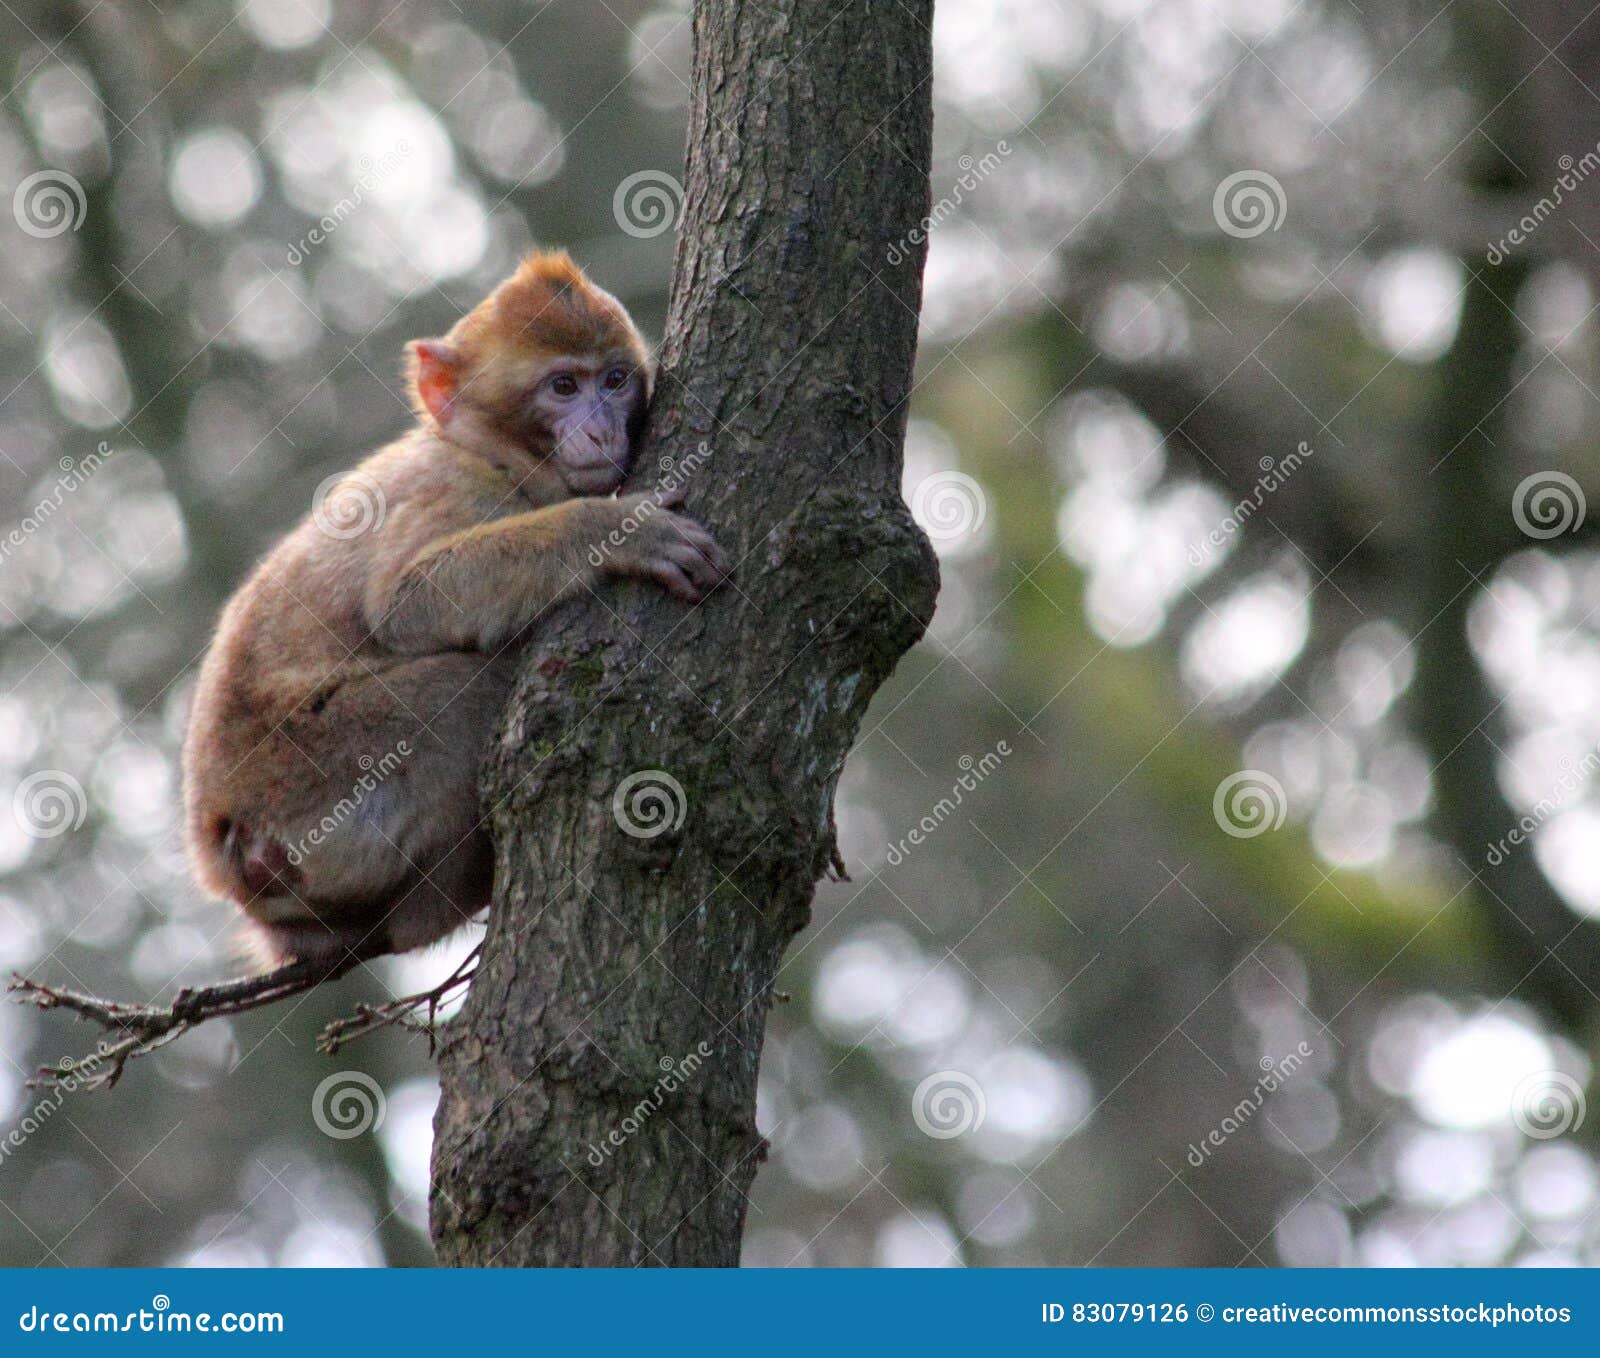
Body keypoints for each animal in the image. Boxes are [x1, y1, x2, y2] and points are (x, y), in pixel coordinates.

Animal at [181, 250, 726, 968]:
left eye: (613, 380)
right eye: (563, 387)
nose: (602, 427)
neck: (491, 455)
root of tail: (220, 846)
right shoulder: (456, 491)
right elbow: (405, 603)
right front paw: (618, 531)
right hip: (309, 778)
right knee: (465, 690)